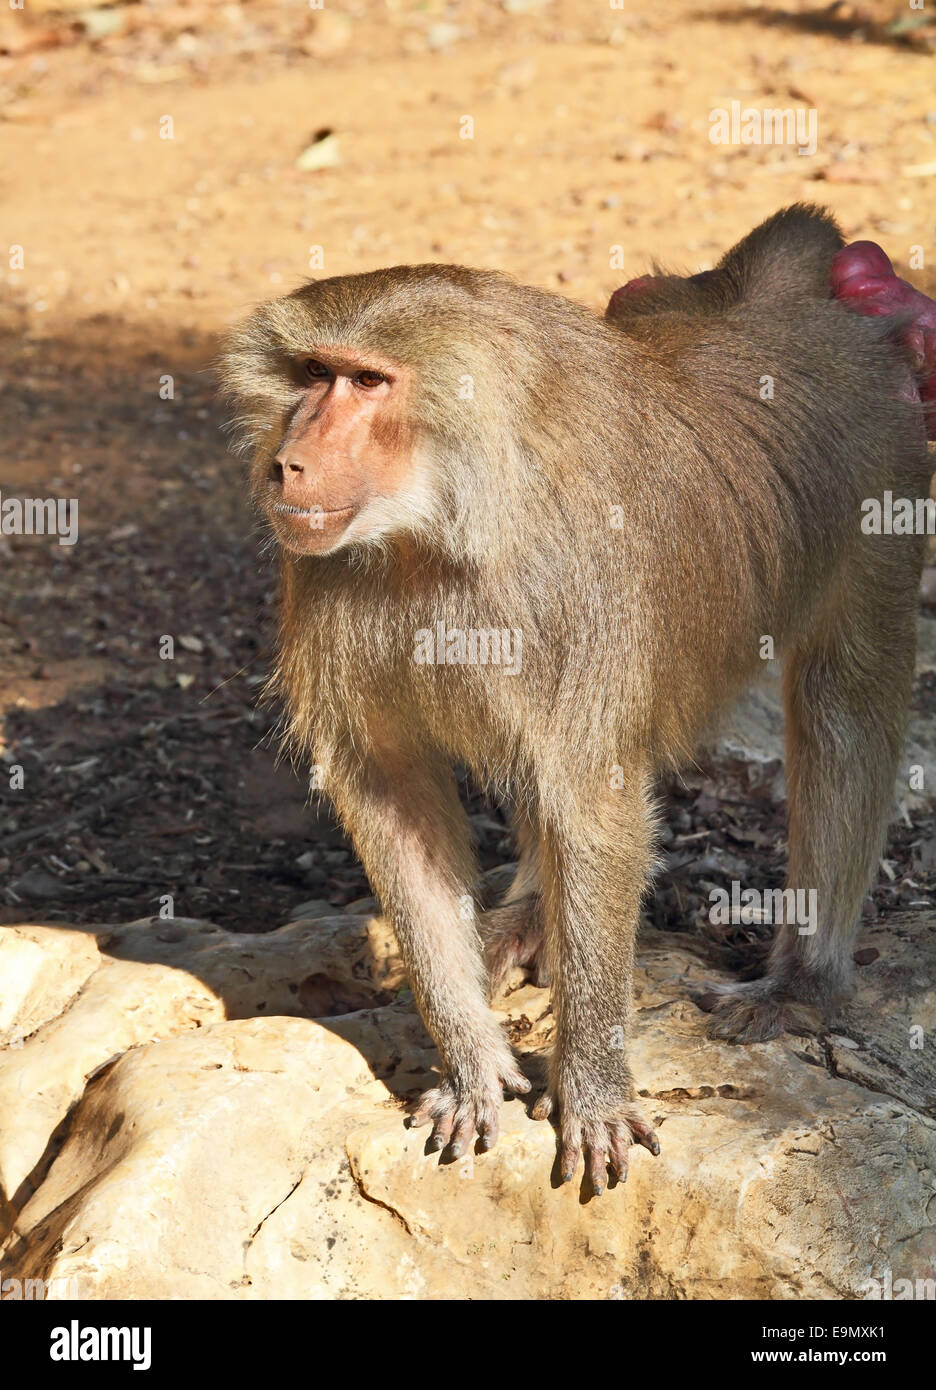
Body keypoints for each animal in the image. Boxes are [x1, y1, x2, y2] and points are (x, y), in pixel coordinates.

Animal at [221, 204, 932, 1194]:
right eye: (309, 375)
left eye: (366, 381)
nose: (287, 464)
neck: (437, 528)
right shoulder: (336, 584)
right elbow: (394, 798)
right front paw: (473, 1068)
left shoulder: (570, 592)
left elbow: (596, 805)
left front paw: (592, 1088)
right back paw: (528, 919)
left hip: (882, 472)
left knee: (843, 704)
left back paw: (803, 985)